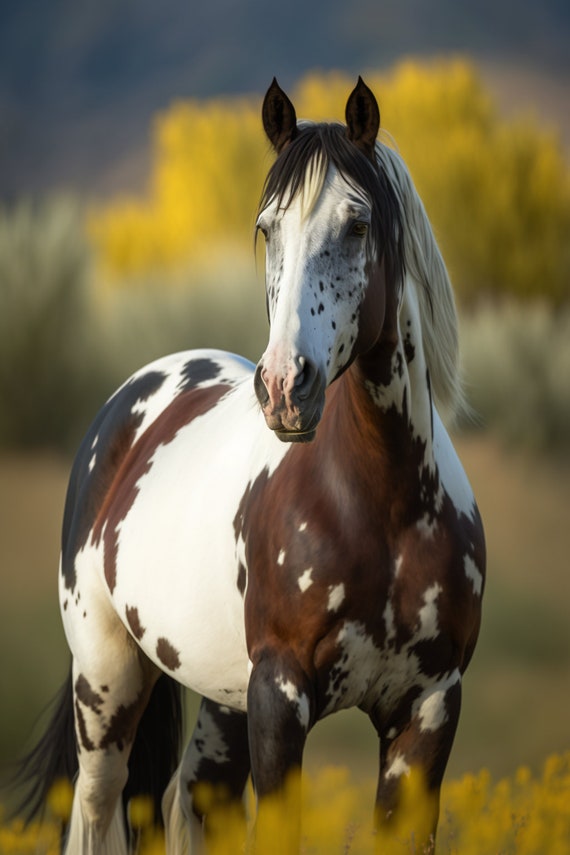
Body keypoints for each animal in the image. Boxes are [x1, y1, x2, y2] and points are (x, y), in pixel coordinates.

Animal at [15, 77, 485, 853]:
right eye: (268, 228)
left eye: (358, 225)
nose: (286, 386)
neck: (380, 504)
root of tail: (127, 405)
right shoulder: (280, 696)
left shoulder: (429, 709)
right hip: (107, 683)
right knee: (97, 803)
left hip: (220, 703)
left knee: (192, 797)